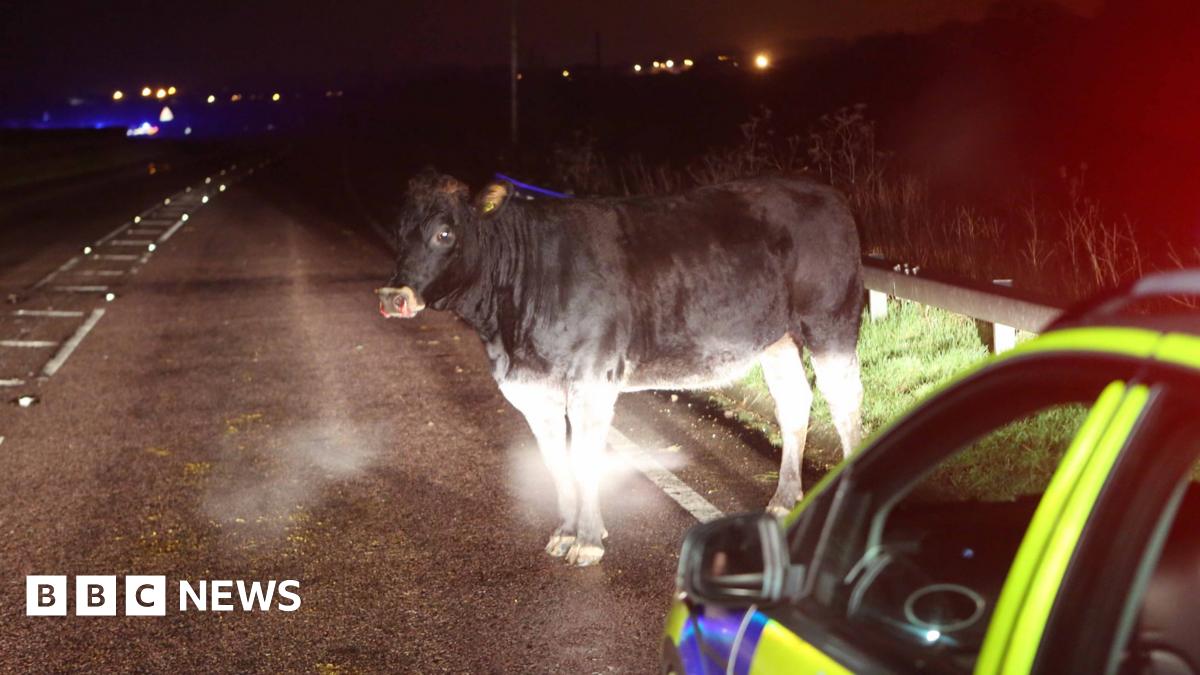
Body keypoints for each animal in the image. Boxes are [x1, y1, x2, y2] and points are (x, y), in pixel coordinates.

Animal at [378, 170, 864, 566]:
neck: (505, 332)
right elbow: (555, 460)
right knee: (794, 401)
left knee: (844, 407)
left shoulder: (591, 379)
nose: (393, 296)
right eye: (399, 232)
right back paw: (783, 500)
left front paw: (588, 541)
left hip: (831, 324)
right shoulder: (532, 390)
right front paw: (564, 532)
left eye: (444, 233)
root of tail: (829, 194)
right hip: (776, 338)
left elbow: (585, 458)